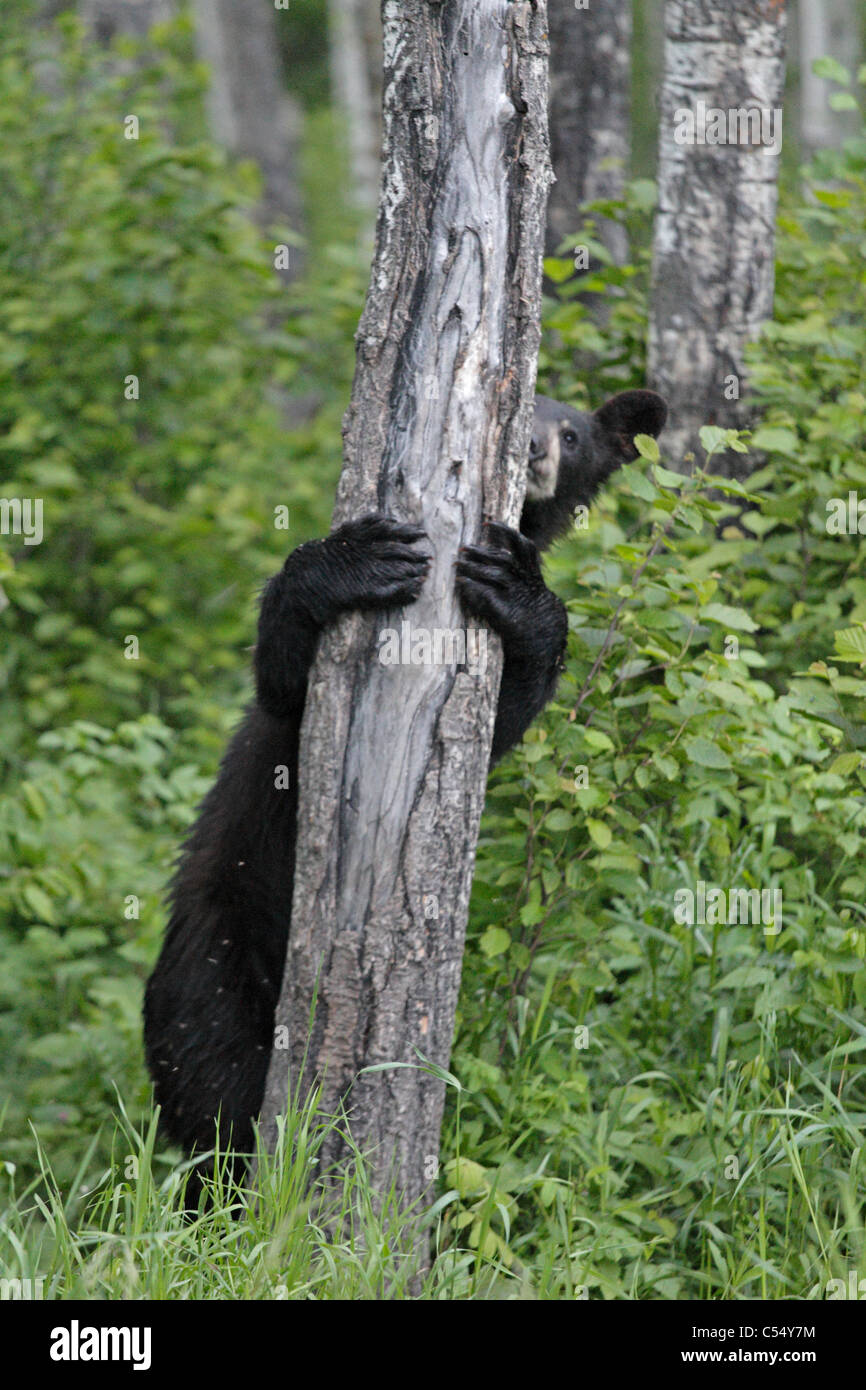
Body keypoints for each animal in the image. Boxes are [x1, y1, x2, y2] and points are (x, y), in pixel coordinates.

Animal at [143, 387, 667, 1202]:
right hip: (210, 981)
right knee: (217, 1105)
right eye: (535, 411)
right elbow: (282, 675)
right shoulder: (284, 720)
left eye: (574, 435)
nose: (536, 447)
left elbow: (509, 706)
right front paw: (353, 562)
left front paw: (518, 590)